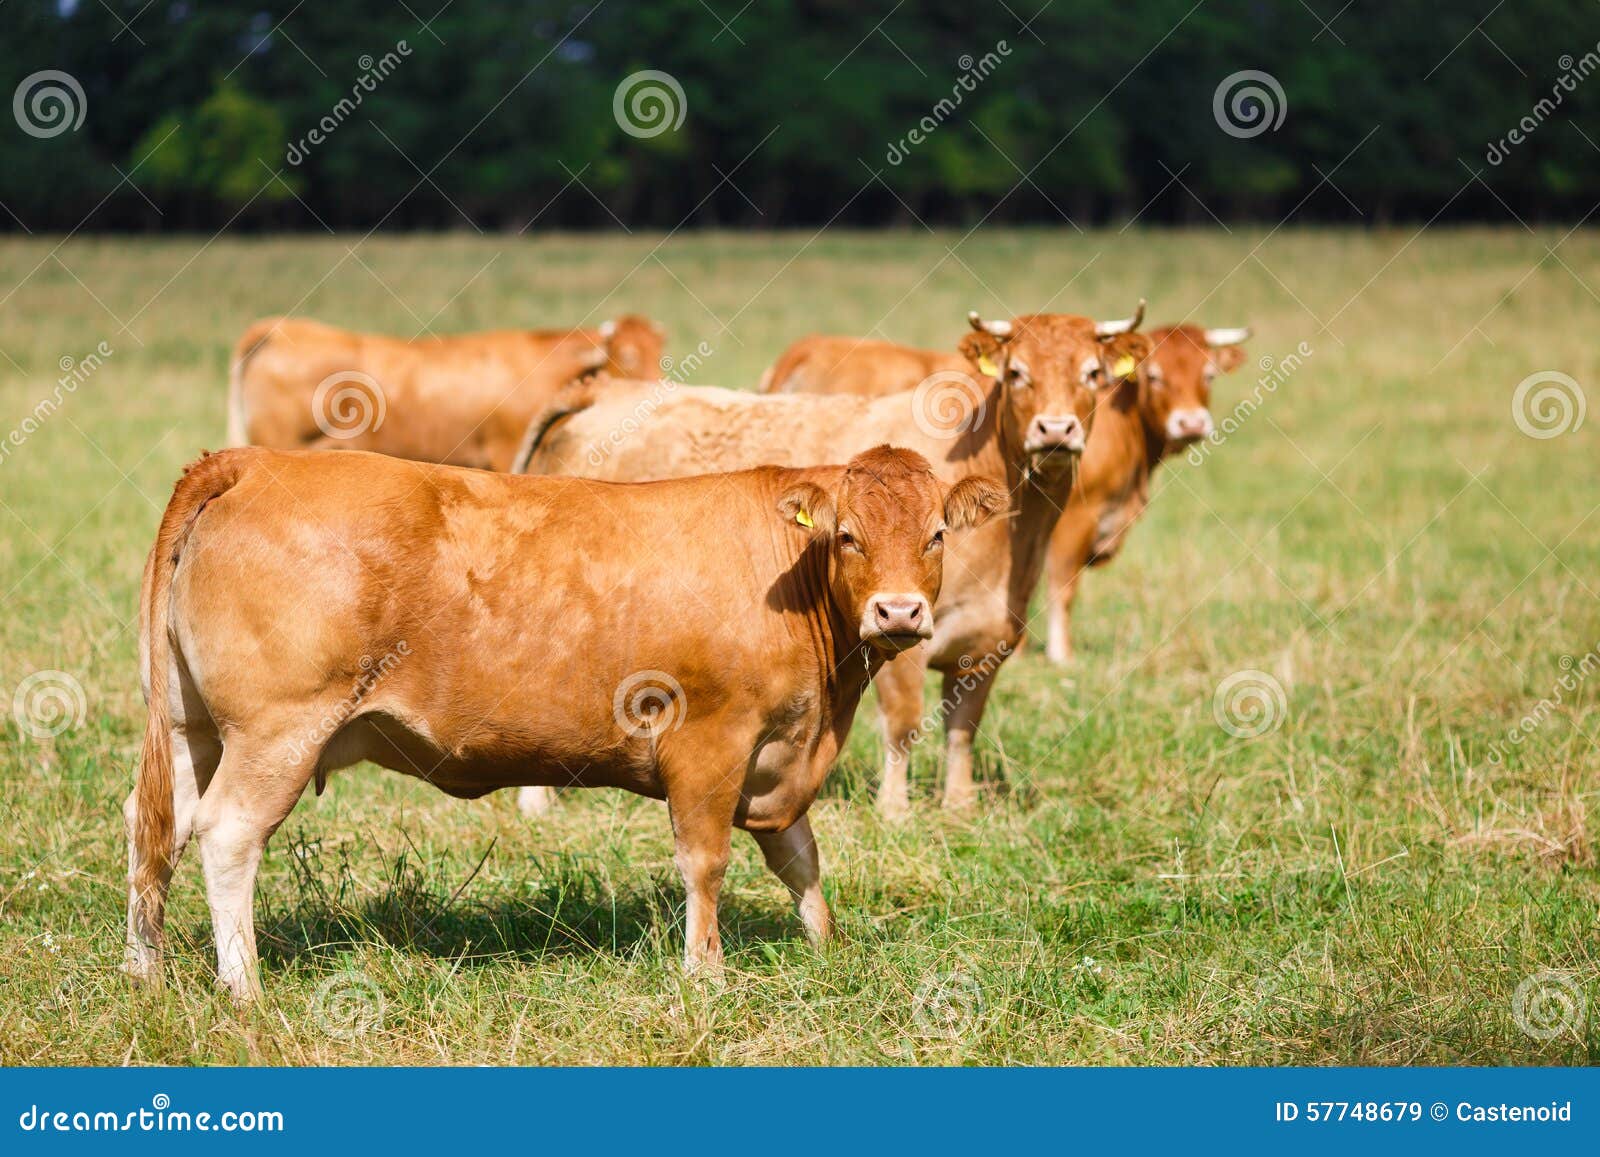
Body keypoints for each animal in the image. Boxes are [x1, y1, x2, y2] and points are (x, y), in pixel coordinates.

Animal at [123, 445, 1003, 1000]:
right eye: (848, 535)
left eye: (937, 533)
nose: (898, 611)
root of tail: (255, 460)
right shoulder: (711, 745)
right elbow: (706, 862)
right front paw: (706, 974)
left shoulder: (778, 754)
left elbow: (799, 857)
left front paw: (827, 945)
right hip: (278, 731)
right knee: (228, 833)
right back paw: (244, 987)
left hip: (192, 727)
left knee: (153, 826)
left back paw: (144, 969)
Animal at [511, 305, 1147, 818]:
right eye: (1017, 374)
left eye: (1092, 374)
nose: (1056, 429)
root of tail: (601, 391)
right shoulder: (896, 635)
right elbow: (904, 724)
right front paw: (895, 811)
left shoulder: (988, 640)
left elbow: (963, 728)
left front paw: (960, 805)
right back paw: (536, 800)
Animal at [1041, 324, 1249, 664]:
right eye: (1154, 376)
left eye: (1209, 374)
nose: (1191, 423)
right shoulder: (1073, 518)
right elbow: (1060, 586)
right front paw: (1059, 656)